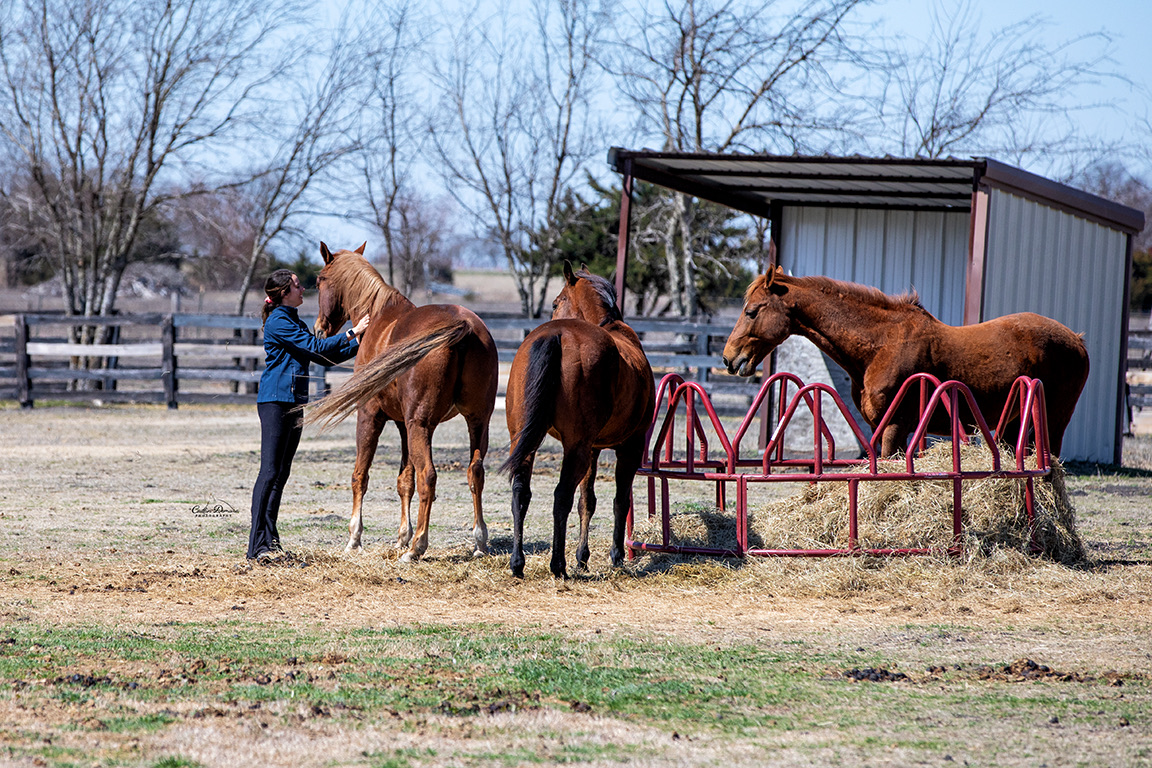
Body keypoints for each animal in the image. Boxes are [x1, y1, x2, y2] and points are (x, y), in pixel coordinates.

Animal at [305, 243, 499, 562]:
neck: (379, 316)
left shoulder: (370, 416)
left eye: (320, 280)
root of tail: (464, 326)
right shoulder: (403, 424)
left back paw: (417, 547)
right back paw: (479, 542)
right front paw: (400, 537)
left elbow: (360, 476)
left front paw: (355, 539)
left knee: (428, 476)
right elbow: (404, 481)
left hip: (420, 425)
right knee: (475, 473)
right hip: (476, 422)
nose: (319, 329)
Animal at [500, 262, 655, 578]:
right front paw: (616, 555)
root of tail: (557, 335)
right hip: (577, 448)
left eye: (554, 302)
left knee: (521, 492)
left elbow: (588, 501)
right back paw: (557, 565)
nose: (552, 312)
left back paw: (518, 563)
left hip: (529, 442)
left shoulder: (593, 449)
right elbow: (620, 500)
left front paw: (582, 556)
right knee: (561, 496)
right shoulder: (629, 447)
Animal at [721, 267, 1090, 458]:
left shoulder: (896, 425)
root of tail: (1077, 339)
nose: (729, 358)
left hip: (1054, 421)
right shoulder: (878, 425)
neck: (881, 344)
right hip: (1014, 424)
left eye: (751, 311)